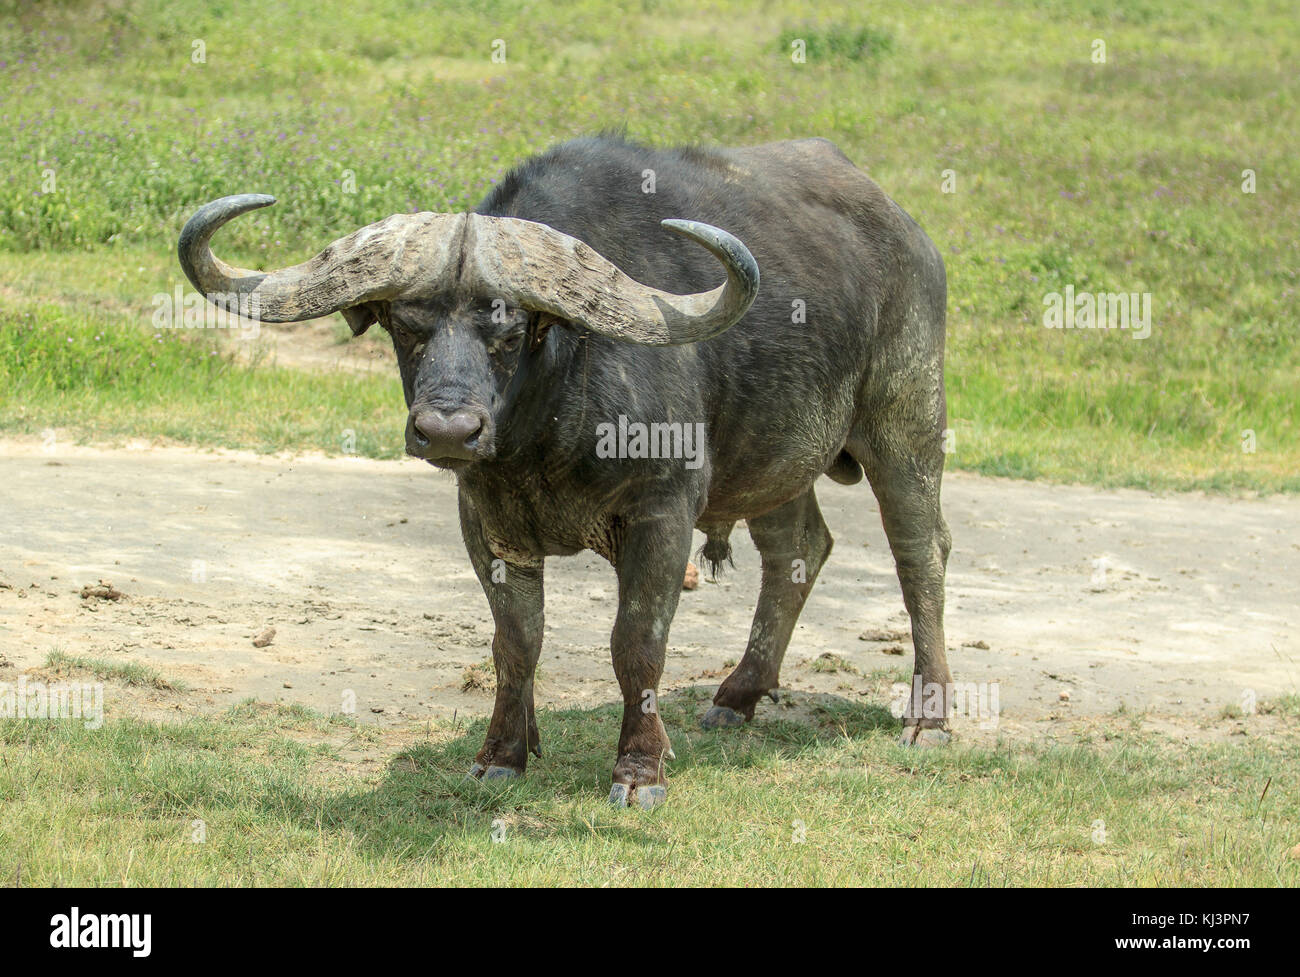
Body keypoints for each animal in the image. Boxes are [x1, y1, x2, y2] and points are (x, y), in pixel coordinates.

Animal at [179, 135, 954, 810]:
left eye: (511, 329)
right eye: (406, 325)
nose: (448, 430)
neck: (546, 434)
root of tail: (909, 235)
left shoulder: (661, 513)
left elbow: (636, 645)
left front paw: (639, 770)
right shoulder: (486, 521)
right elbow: (516, 642)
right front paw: (502, 754)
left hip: (906, 423)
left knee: (921, 556)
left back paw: (930, 717)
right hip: (775, 462)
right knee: (797, 551)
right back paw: (737, 697)